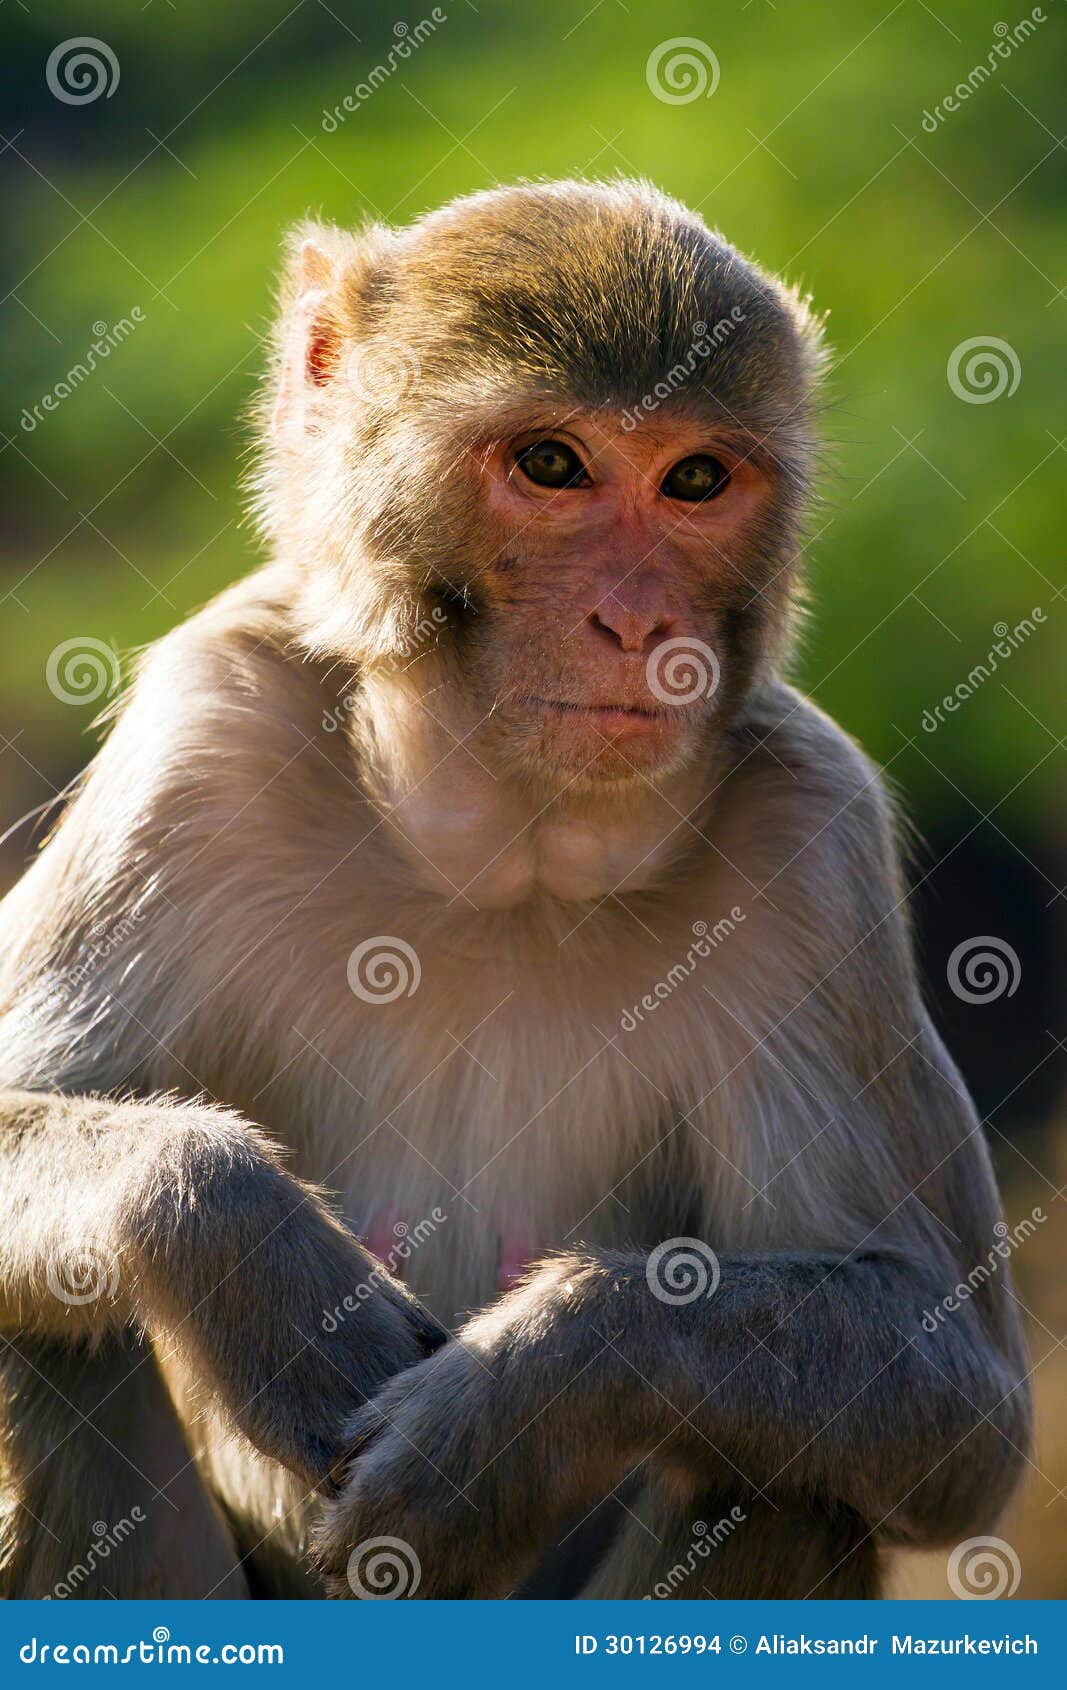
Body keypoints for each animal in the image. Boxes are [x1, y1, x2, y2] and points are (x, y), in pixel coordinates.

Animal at [0, 178, 1030, 1601]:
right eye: (551, 465)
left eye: (695, 478)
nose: (639, 626)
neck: (505, 858)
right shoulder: (204, 733)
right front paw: (239, 1249)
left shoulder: (813, 838)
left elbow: (959, 1397)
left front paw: (520, 1399)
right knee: (52, 1334)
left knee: (797, 1481)